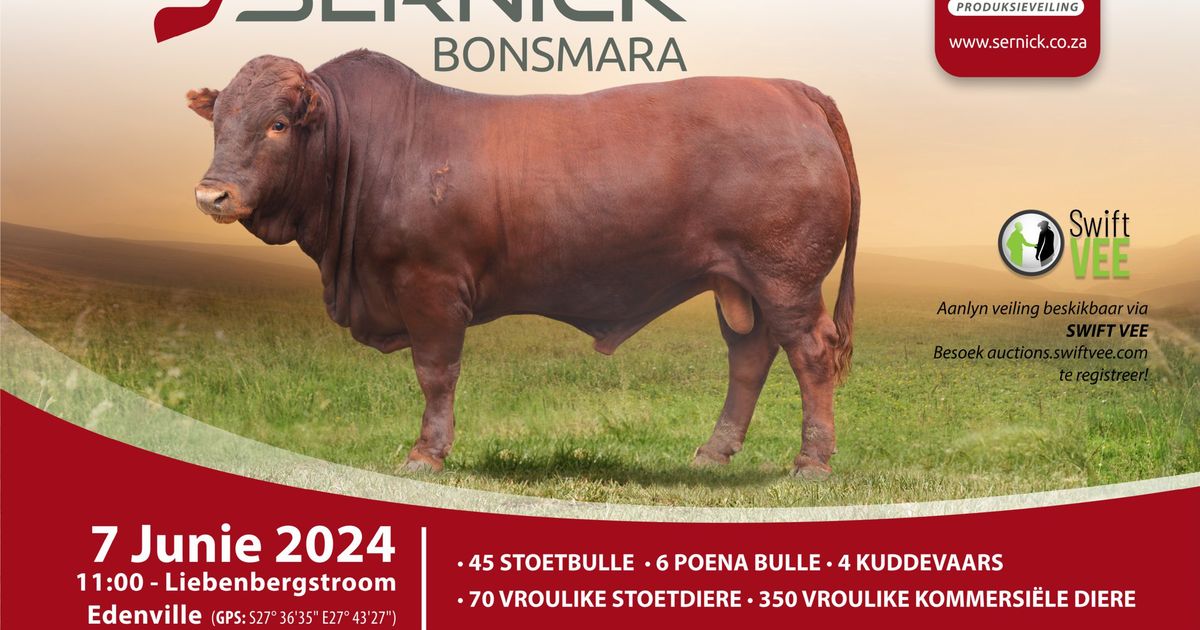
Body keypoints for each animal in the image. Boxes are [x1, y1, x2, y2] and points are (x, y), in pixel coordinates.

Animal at [187, 50, 860, 478]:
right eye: (218, 124)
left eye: (278, 124)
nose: (211, 195)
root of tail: (789, 88)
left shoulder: (431, 286)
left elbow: (436, 373)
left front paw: (426, 455)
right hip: (737, 281)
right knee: (749, 355)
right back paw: (714, 453)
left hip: (786, 278)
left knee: (810, 354)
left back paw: (812, 462)